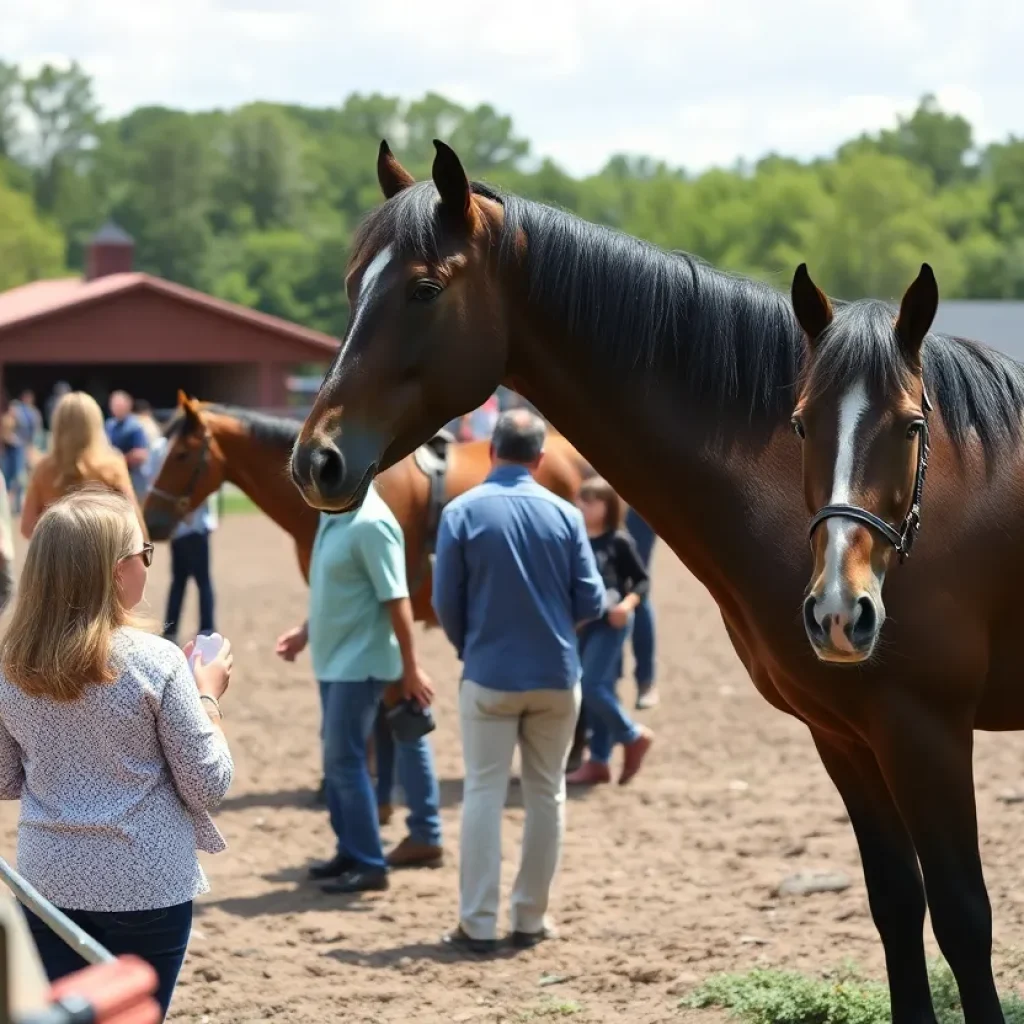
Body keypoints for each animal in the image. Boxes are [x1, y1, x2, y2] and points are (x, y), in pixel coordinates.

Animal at [289, 139, 1015, 1023]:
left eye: (424, 288)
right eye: (354, 285)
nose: (316, 458)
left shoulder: (926, 733)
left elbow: (963, 918)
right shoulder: (845, 734)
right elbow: (897, 907)